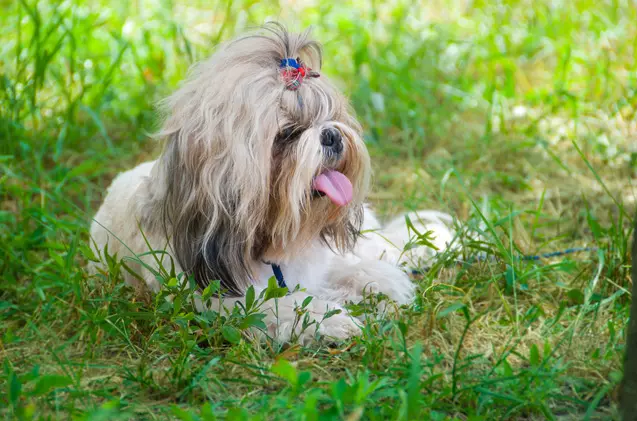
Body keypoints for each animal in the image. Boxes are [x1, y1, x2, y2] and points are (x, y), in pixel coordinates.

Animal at [89, 23, 458, 342]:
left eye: (330, 116)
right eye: (288, 133)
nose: (331, 134)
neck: (271, 244)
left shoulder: (323, 262)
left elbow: (351, 269)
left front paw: (377, 281)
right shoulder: (222, 301)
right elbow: (284, 307)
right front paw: (333, 319)